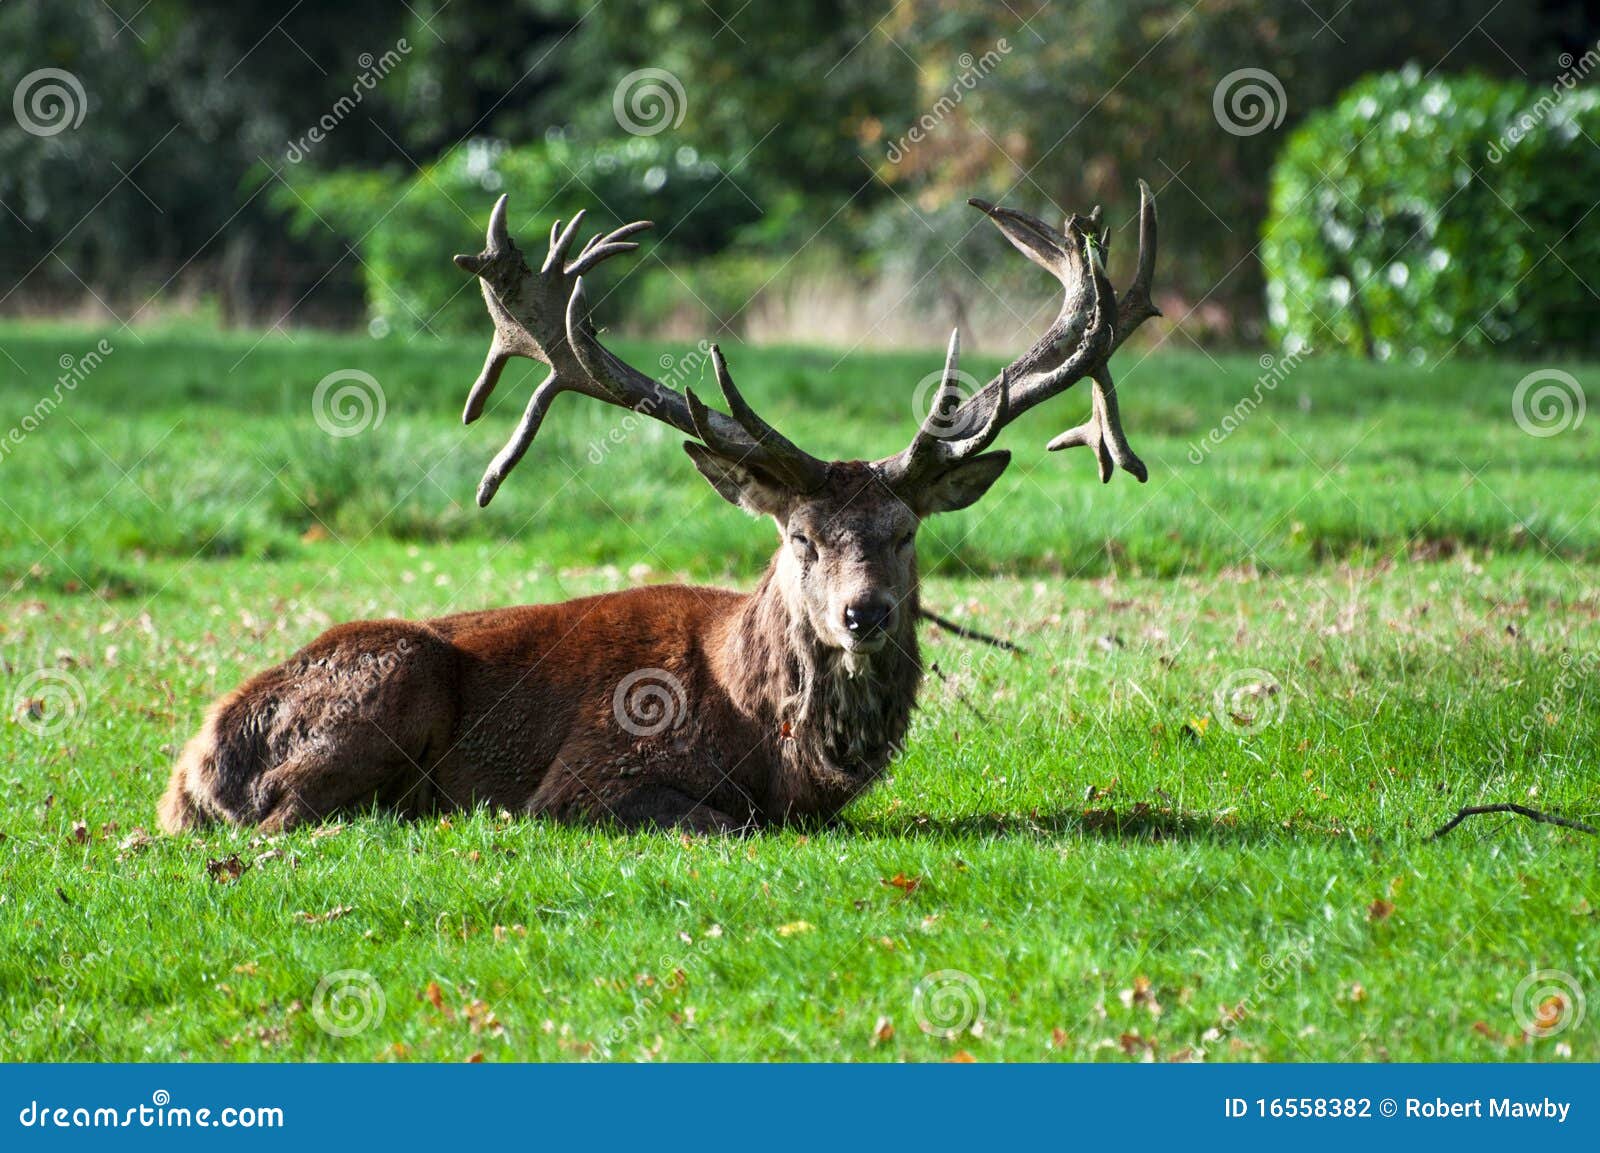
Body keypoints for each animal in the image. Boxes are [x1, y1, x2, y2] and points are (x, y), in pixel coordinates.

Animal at [157, 181, 1162, 835]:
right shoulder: (590, 774)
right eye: (801, 536)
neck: (773, 744)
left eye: (906, 531)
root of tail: (188, 769)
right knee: (289, 818)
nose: (864, 614)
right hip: (388, 674)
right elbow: (722, 819)